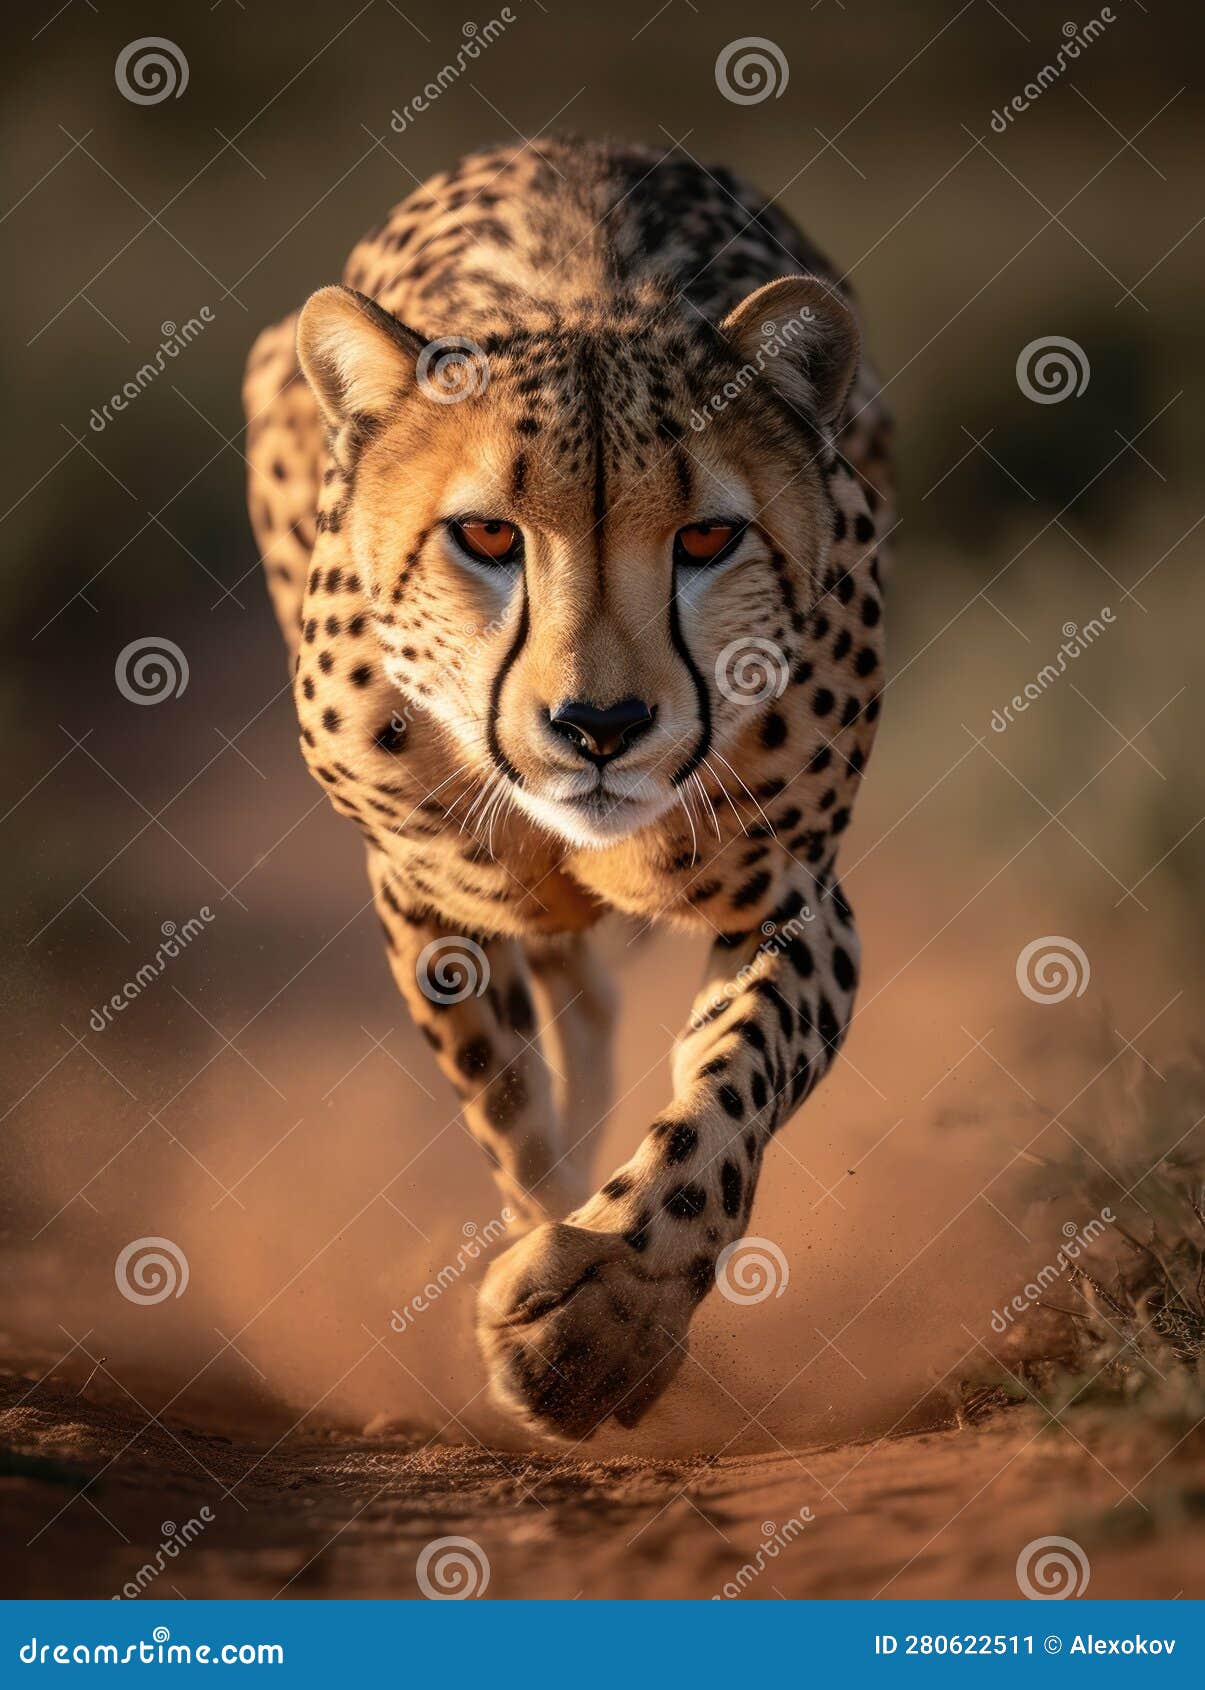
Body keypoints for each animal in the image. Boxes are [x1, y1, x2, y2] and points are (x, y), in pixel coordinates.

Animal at [242, 134, 894, 1442]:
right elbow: (507, 1106)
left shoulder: (792, 893)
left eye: (707, 540)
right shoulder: (426, 897)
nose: (599, 726)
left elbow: (730, 1089)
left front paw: (605, 1322)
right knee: (571, 1018)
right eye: (487, 536)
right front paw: (544, 1261)